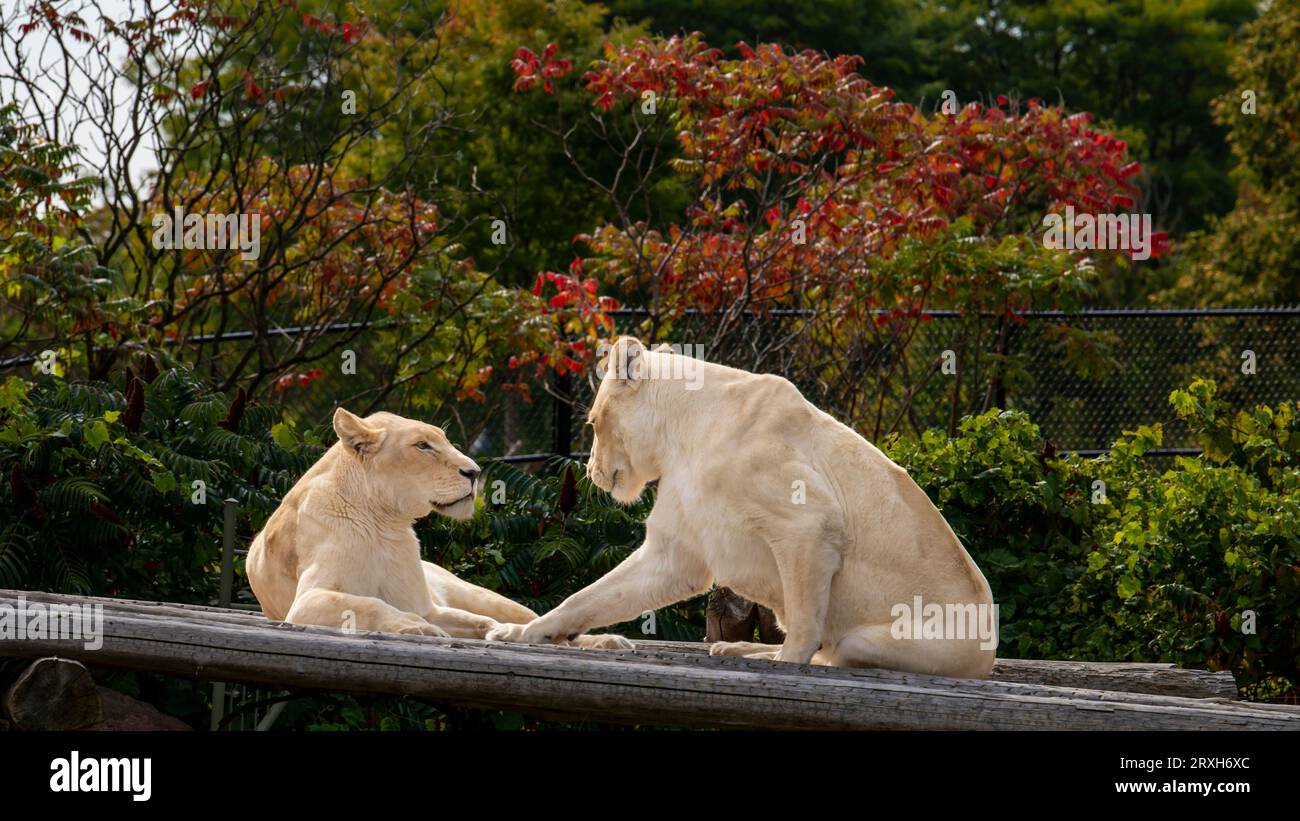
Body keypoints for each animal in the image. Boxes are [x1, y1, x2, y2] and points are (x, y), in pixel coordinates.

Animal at [246, 407, 632, 649]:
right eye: (422, 446)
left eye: (443, 441)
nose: (474, 472)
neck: (384, 525)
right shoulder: (305, 603)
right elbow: (369, 604)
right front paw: (416, 627)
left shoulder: (428, 604)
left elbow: (475, 621)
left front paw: (491, 631)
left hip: (487, 596)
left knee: (545, 621)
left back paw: (604, 640)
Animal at [487, 338, 996, 677]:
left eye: (593, 422)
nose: (591, 470)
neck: (681, 433)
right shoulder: (677, 549)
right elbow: (588, 597)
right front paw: (525, 633)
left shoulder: (810, 520)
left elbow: (806, 622)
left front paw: (788, 663)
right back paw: (740, 650)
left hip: (876, 637)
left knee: (833, 649)